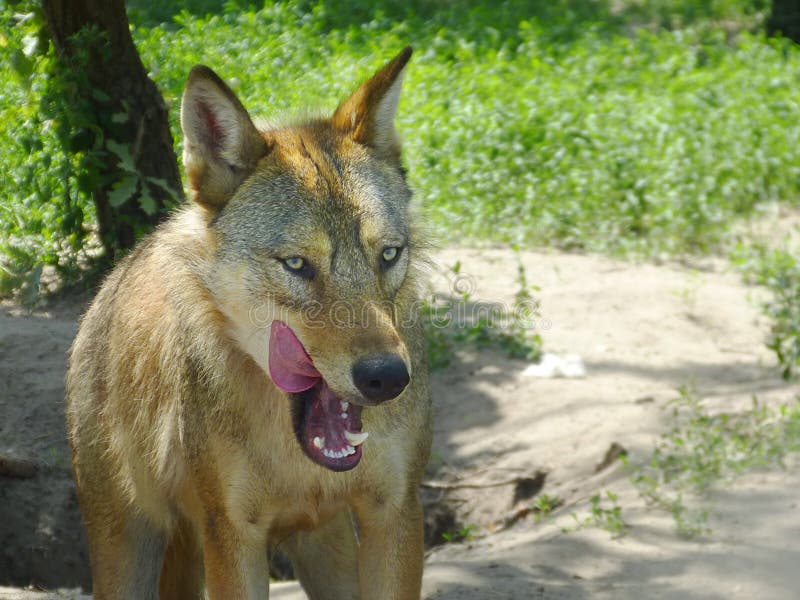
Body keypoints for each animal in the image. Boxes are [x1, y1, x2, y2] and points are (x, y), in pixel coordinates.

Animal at [66, 47, 432, 599]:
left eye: (388, 254)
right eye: (297, 264)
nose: (387, 377)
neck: (294, 460)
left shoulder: (395, 517)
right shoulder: (232, 536)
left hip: (329, 555)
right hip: (126, 550)